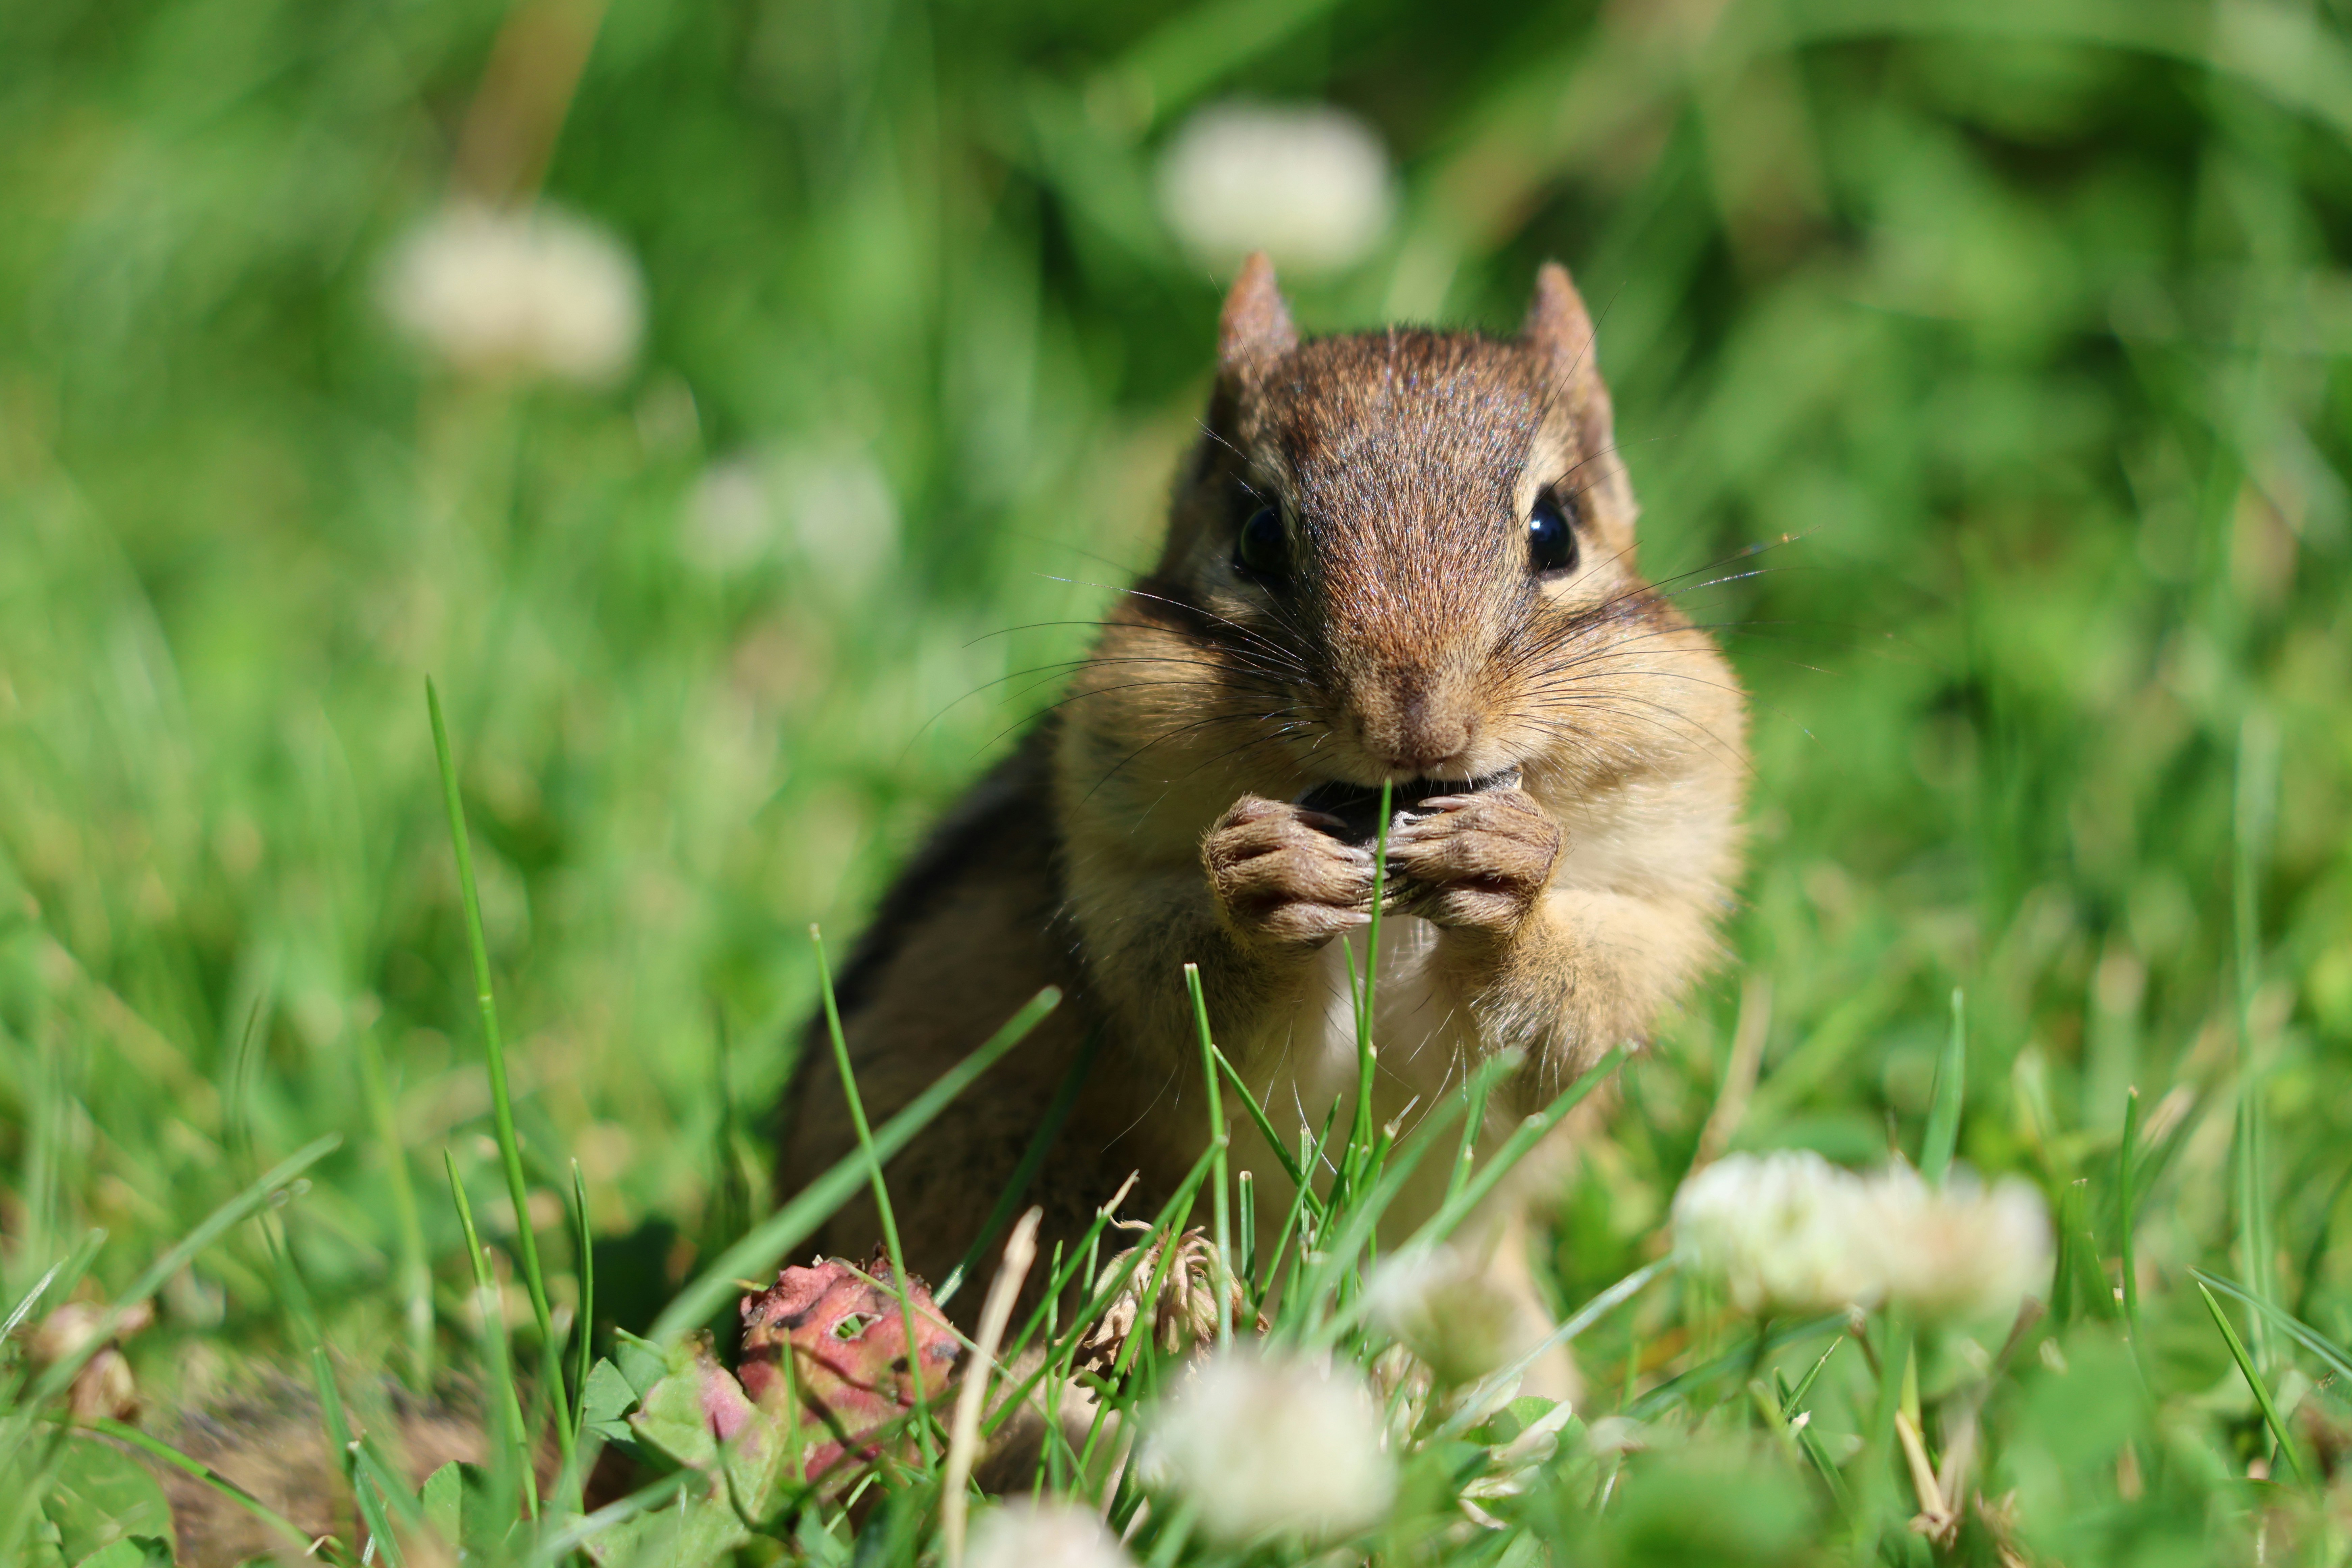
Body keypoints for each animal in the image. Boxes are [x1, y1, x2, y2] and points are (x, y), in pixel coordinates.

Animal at [780, 254, 1747, 1357]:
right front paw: (1266, 883)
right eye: (1256, 533)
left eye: (1556, 528)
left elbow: (1565, 1016)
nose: (1415, 728)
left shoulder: (1654, 896)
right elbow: (1211, 1017)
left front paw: (1506, 871)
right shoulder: (1117, 879)